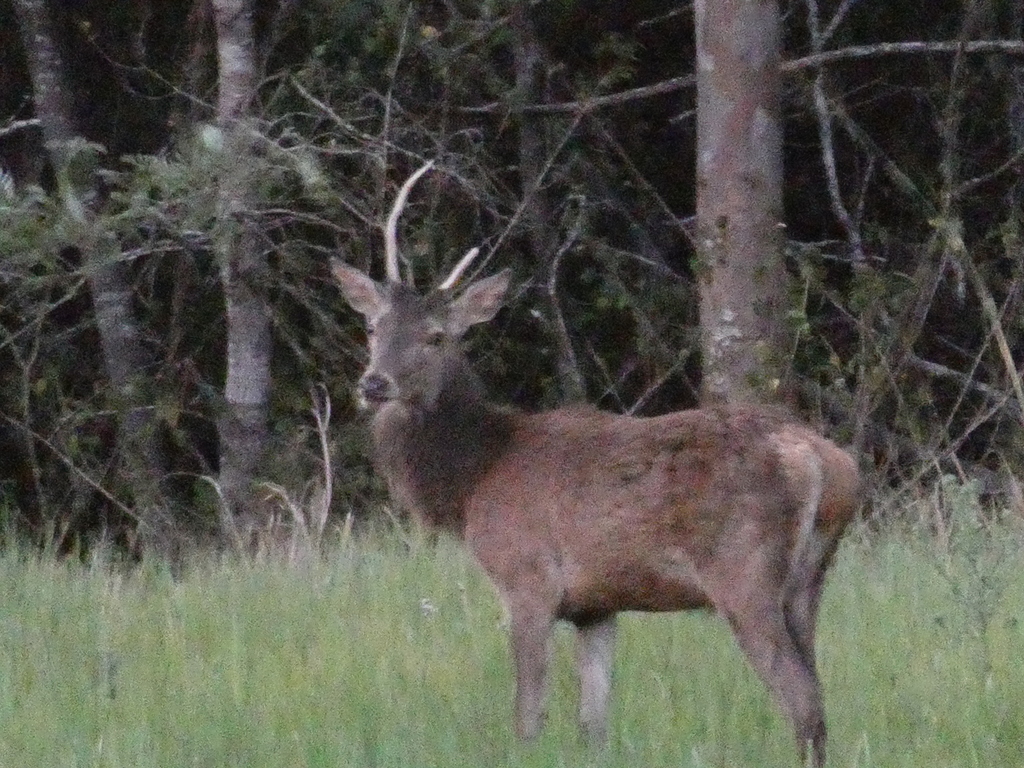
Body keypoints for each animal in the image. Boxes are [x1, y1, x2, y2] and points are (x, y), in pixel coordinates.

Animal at [331, 162, 861, 767]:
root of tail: (825, 461)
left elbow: (528, 716)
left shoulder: (527, 577)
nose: (374, 384)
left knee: (803, 704)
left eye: (436, 336)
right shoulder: (597, 606)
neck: (474, 478)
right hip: (808, 583)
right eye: (373, 327)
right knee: (818, 694)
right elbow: (594, 724)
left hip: (744, 572)